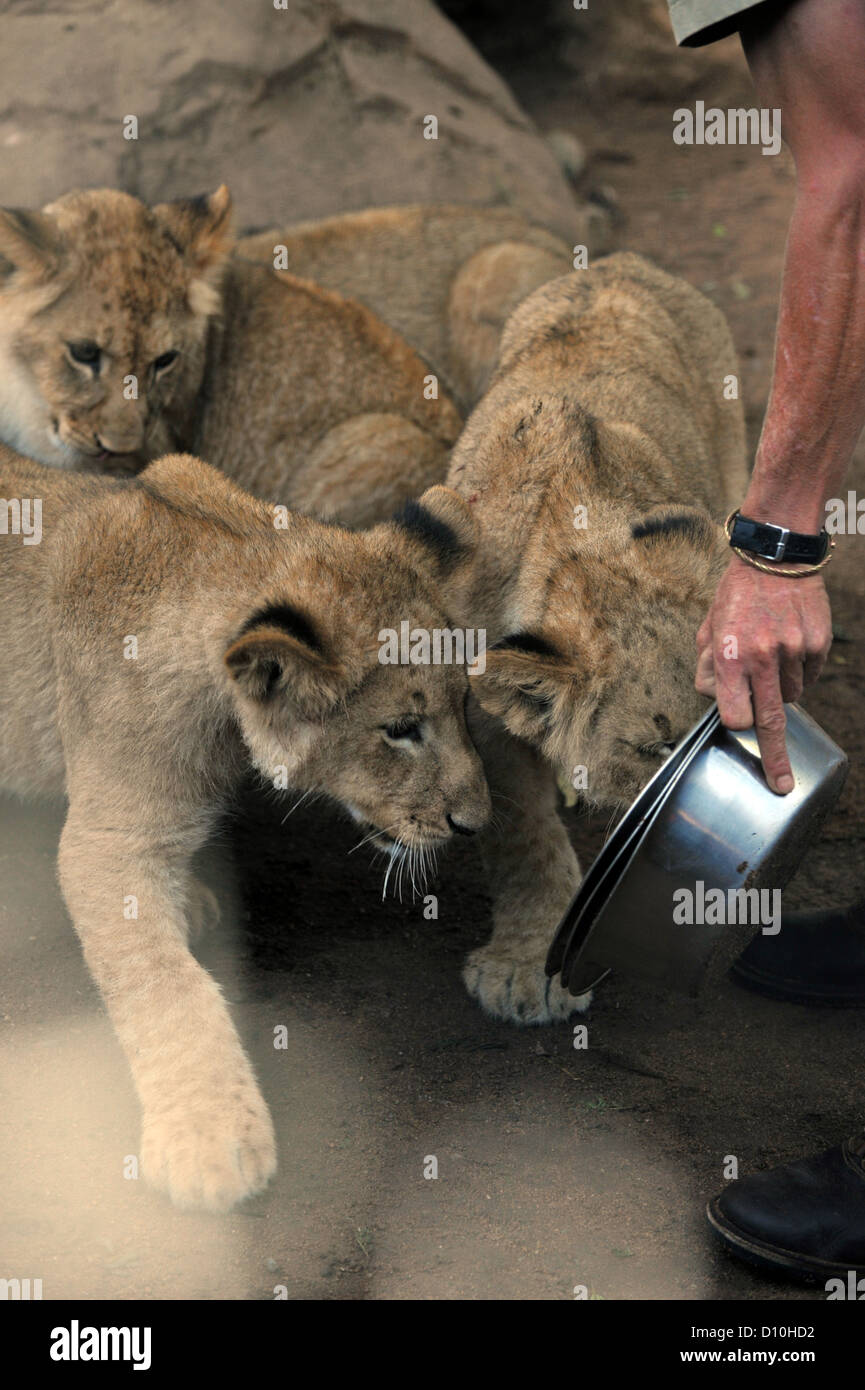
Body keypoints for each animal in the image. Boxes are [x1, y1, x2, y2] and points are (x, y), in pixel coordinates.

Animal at [0, 442, 490, 1209]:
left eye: (465, 706)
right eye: (400, 729)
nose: (476, 822)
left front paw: (192, 899)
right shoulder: (105, 843)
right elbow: (169, 987)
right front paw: (210, 1138)